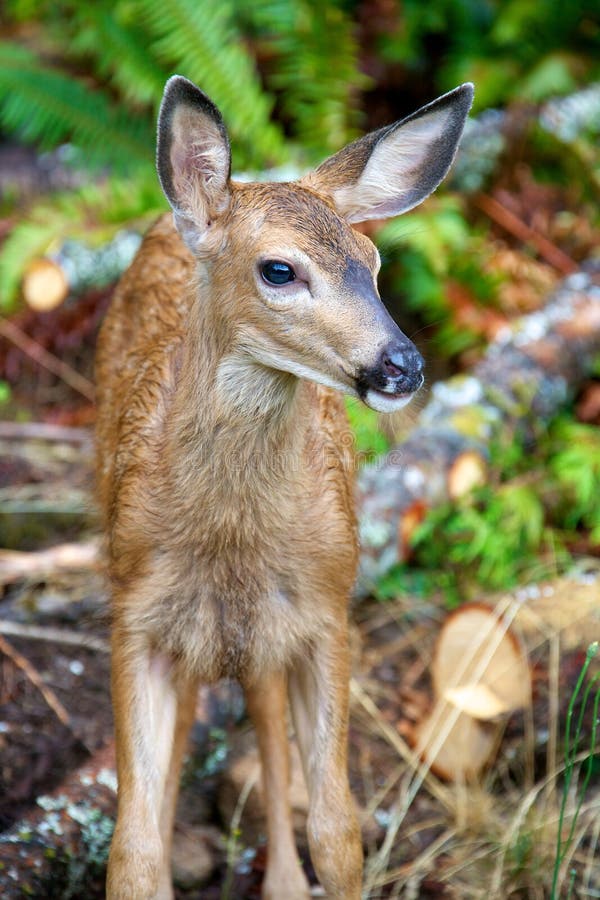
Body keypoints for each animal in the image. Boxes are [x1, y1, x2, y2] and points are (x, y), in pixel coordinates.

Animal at [95, 75, 473, 899]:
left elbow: (338, 833)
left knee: (264, 717)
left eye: (374, 260)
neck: (232, 538)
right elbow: (131, 852)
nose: (402, 365)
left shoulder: (328, 611)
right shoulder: (134, 615)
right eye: (279, 270)